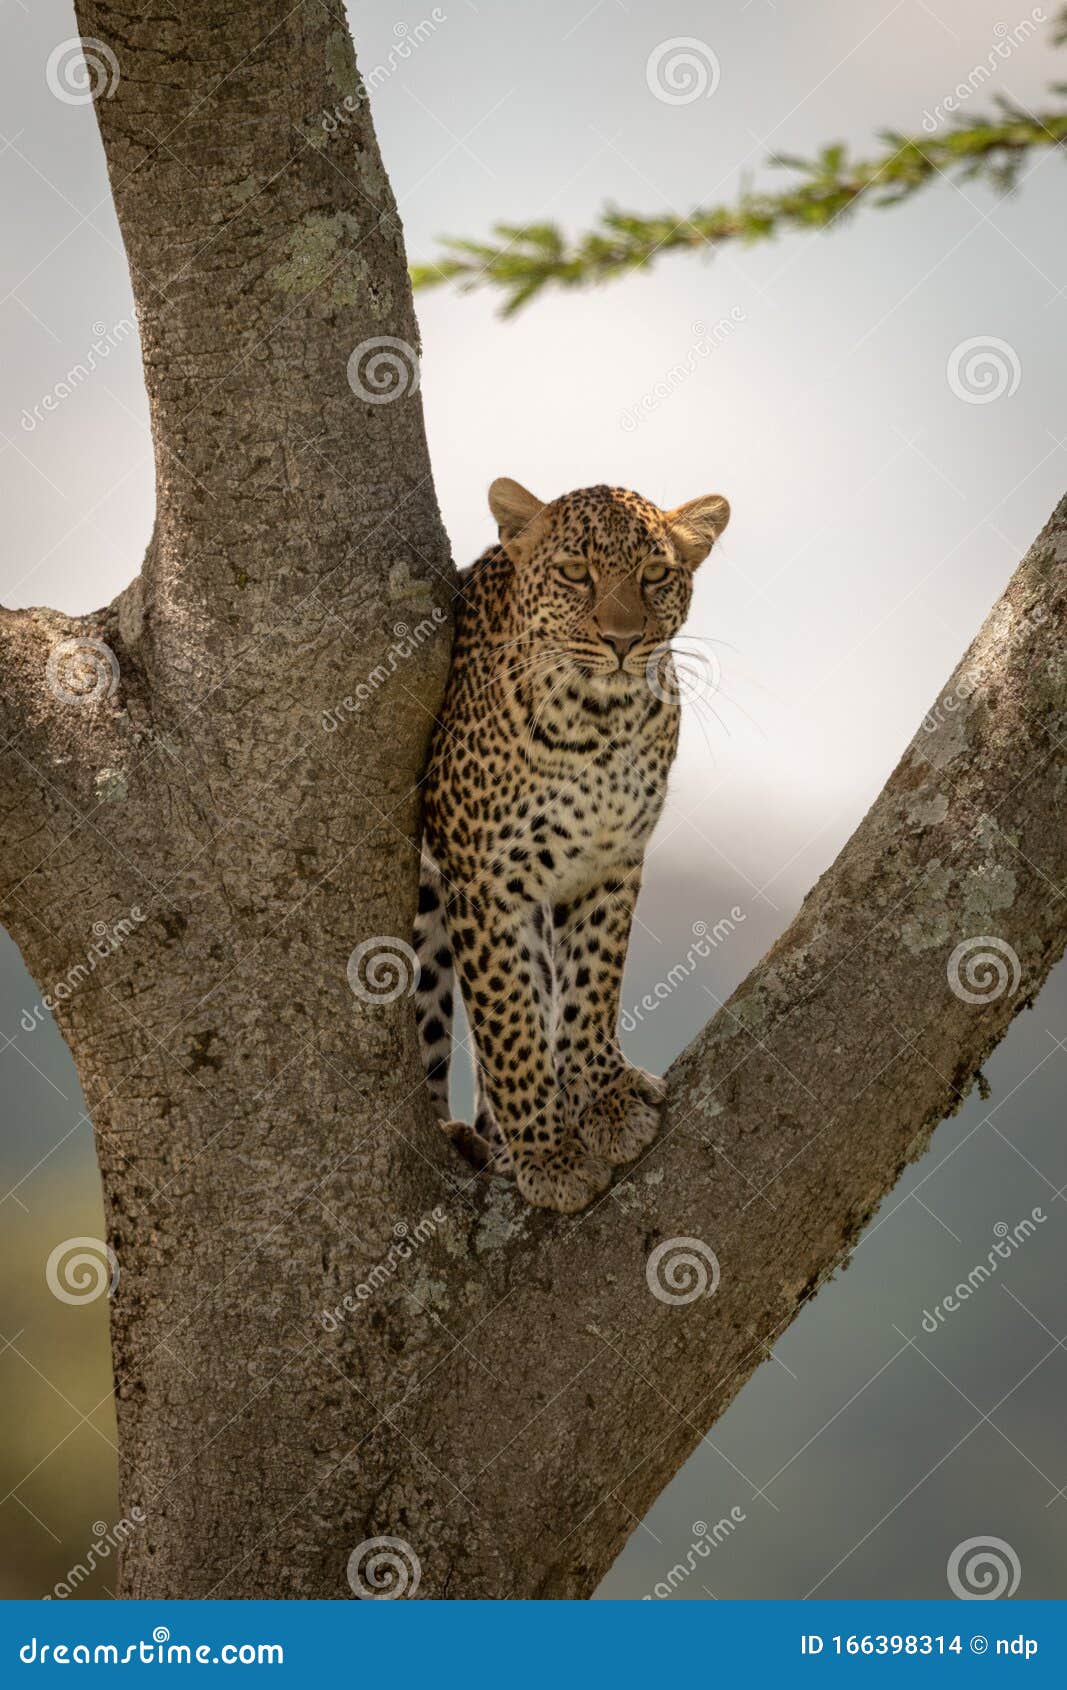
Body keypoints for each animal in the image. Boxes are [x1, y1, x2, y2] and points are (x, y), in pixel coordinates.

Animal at [415, 476, 730, 1213]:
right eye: (575, 573)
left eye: (654, 576)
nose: (621, 641)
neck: (598, 725)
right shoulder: (486, 885)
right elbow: (509, 1027)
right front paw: (547, 1155)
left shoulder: (608, 865)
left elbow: (590, 985)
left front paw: (606, 1101)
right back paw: (472, 1139)